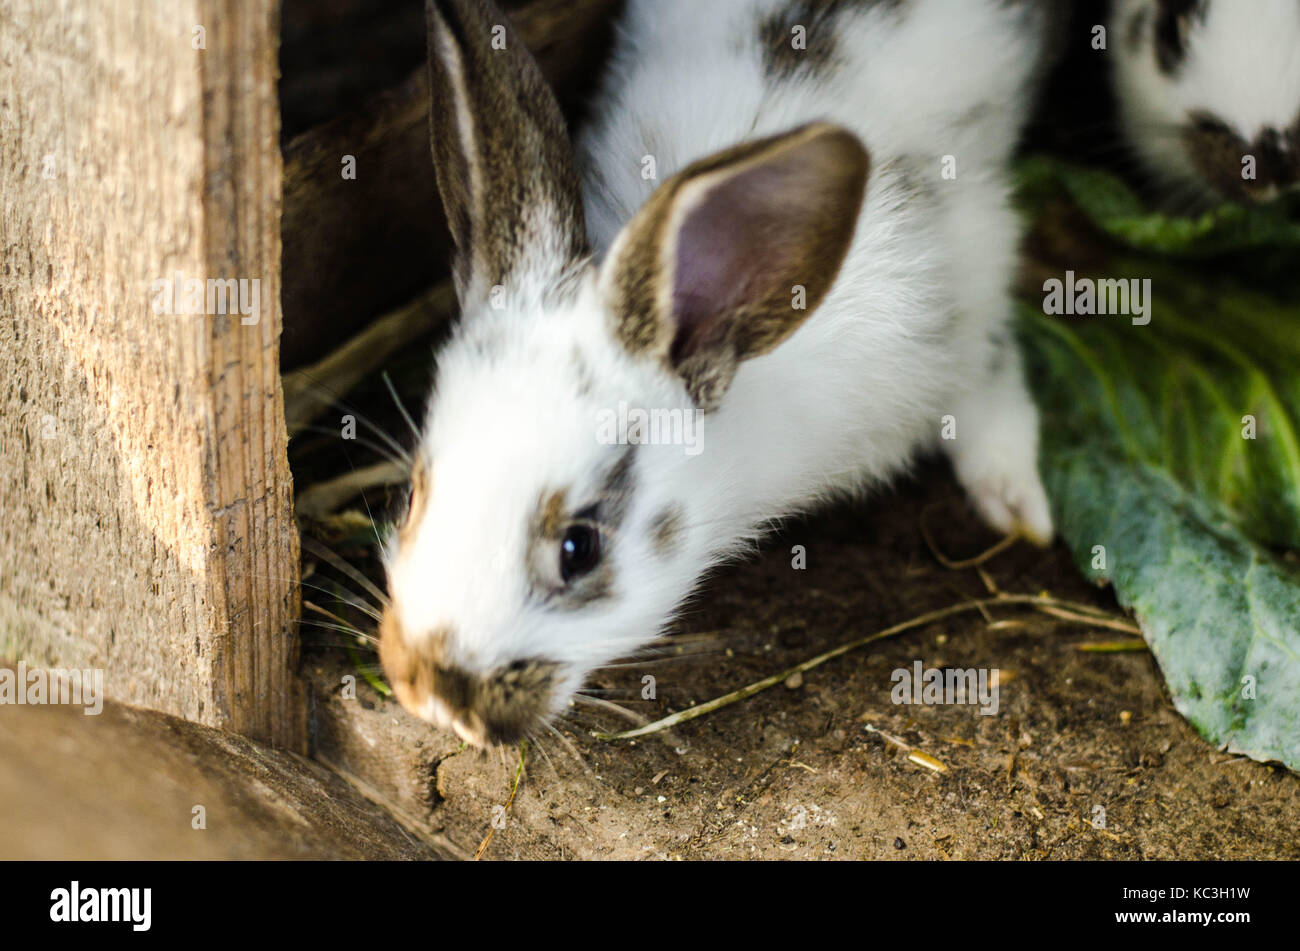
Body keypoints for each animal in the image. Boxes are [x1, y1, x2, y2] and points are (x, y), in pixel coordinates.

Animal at [378, 0, 1055, 747]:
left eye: (579, 548)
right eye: (413, 494)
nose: (430, 695)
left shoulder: (971, 285)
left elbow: (994, 383)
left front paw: (1017, 504)